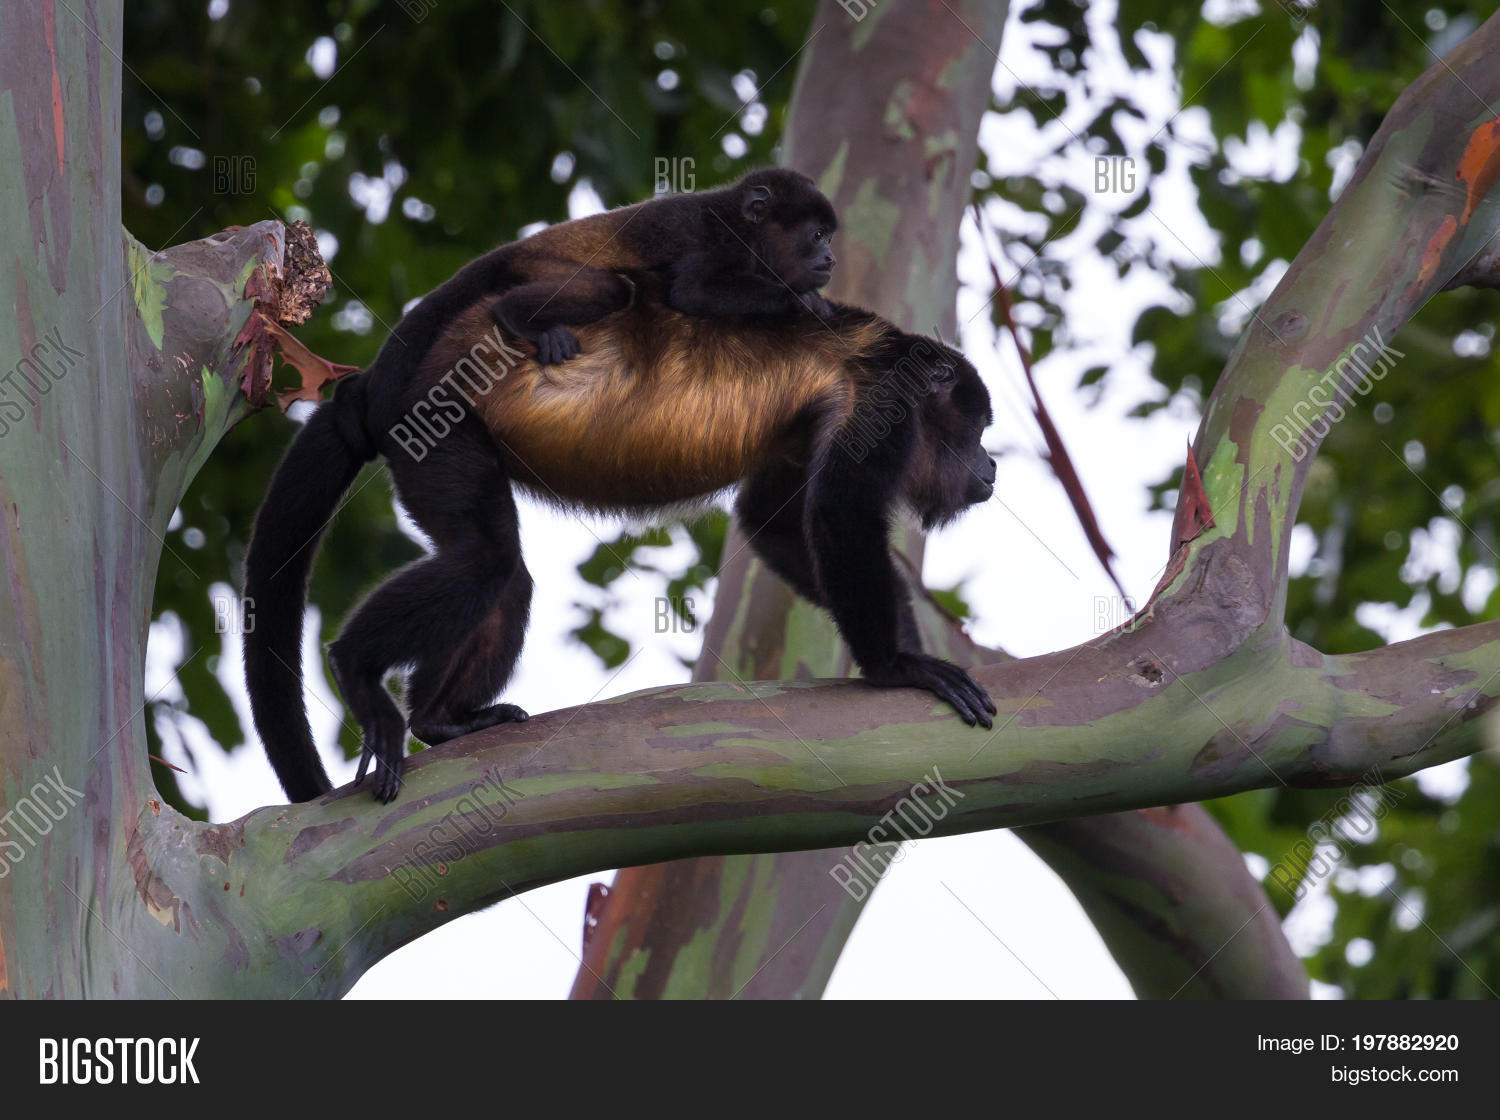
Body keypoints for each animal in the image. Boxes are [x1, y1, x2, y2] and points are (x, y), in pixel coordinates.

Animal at [243, 276, 997, 804]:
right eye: (981, 427)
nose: (991, 467)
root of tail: (374, 389)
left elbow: (771, 519)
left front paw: (907, 639)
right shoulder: (884, 402)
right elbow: (840, 518)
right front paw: (901, 666)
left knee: (505, 572)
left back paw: (440, 719)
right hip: (432, 420)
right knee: (483, 558)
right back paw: (357, 669)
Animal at [484, 167, 838, 365]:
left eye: (830, 237)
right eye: (818, 235)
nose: (831, 258)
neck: (748, 229)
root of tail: (516, 247)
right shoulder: (724, 243)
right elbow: (691, 292)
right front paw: (799, 298)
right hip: (536, 263)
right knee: (610, 288)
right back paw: (513, 314)